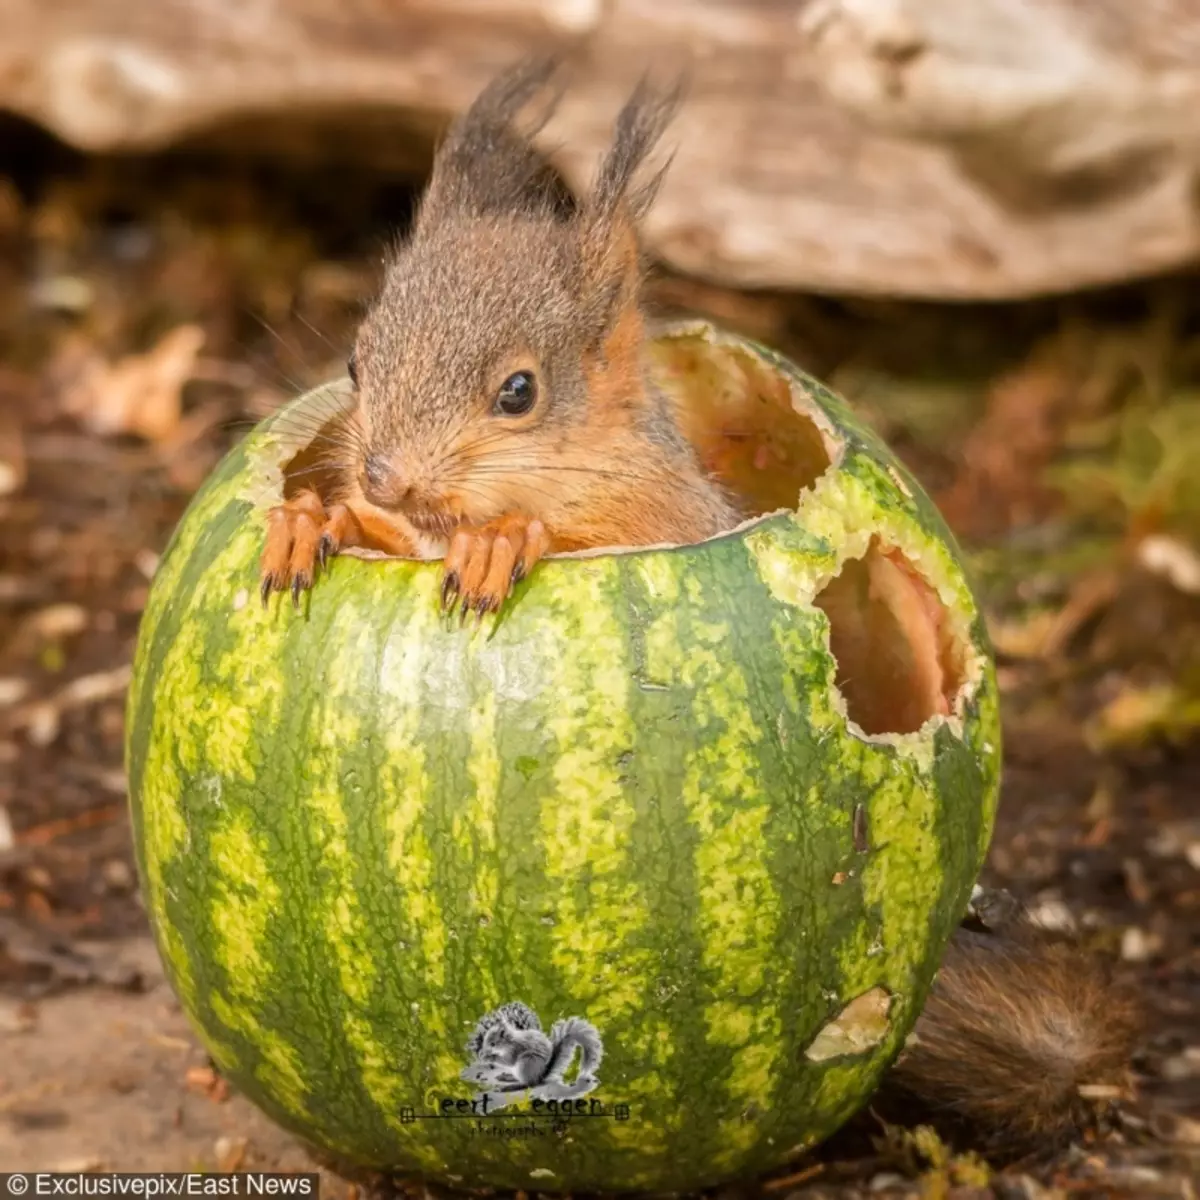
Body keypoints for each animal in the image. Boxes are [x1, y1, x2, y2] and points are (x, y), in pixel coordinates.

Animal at [258, 58, 1137, 1152]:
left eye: (519, 392)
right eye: (354, 361)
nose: (382, 476)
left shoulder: (664, 509)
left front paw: (501, 544)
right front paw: (311, 520)